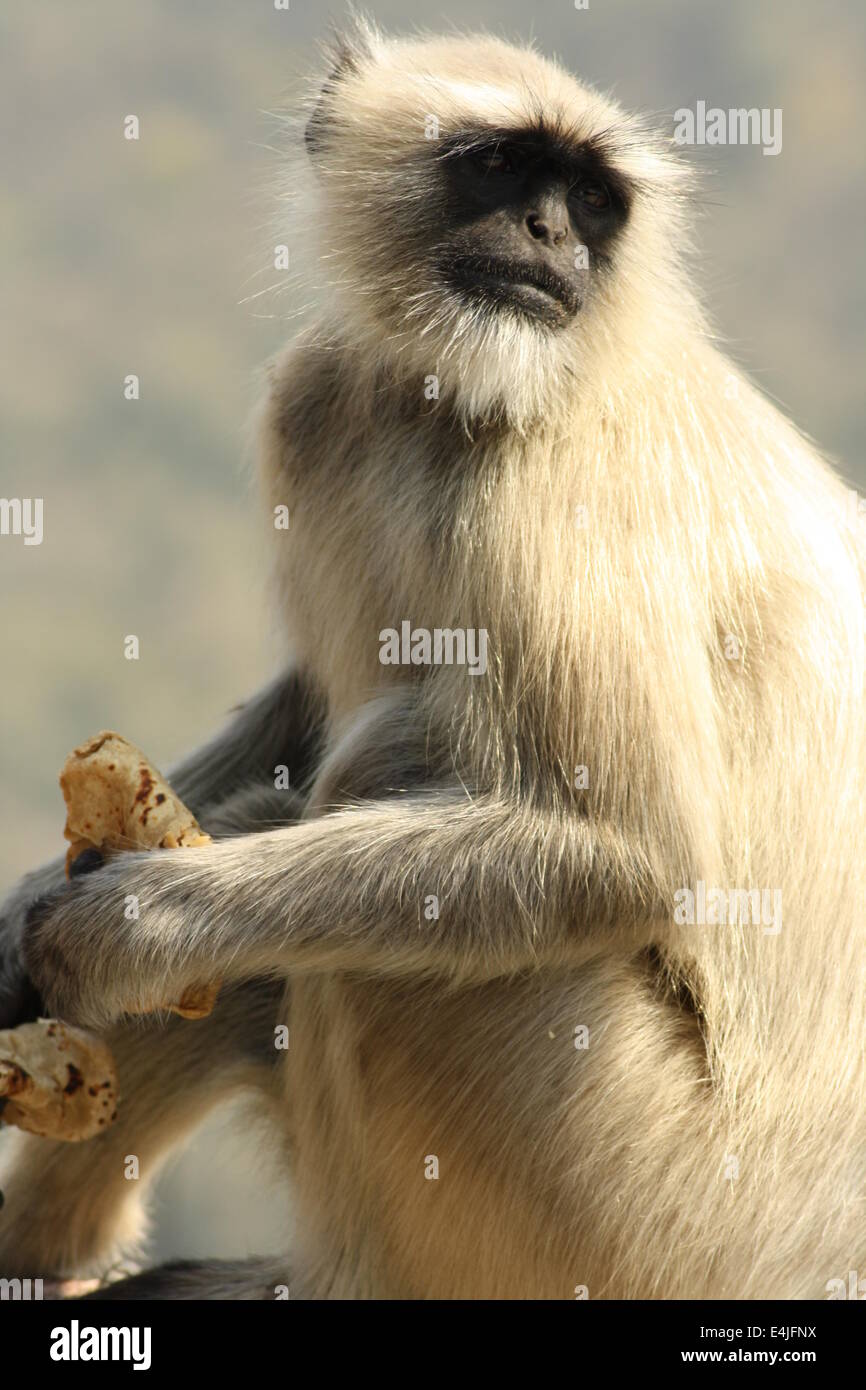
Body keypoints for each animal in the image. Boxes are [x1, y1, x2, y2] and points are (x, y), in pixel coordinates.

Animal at [0, 17, 863, 1300]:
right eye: (500, 169)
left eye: (591, 200)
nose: (549, 236)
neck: (456, 402)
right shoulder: (319, 399)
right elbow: (309, 698)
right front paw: (23, 910)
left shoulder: (557, 487)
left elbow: (628, 855)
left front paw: (124, 928)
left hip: (620, 1190)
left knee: (380, 776)